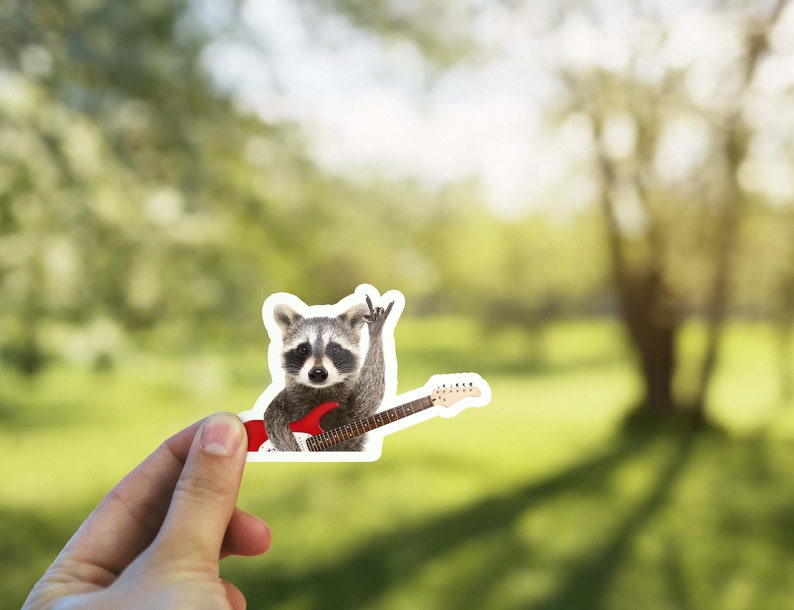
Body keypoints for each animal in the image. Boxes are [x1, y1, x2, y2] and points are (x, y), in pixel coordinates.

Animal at [263, 296, 394, 451]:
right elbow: (273, 417)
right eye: (303, 349)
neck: (320, 391)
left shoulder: (353, 414)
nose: (318, 373)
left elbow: (370, 395)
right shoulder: (290, 402)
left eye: (335, 349)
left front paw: (375, 333)